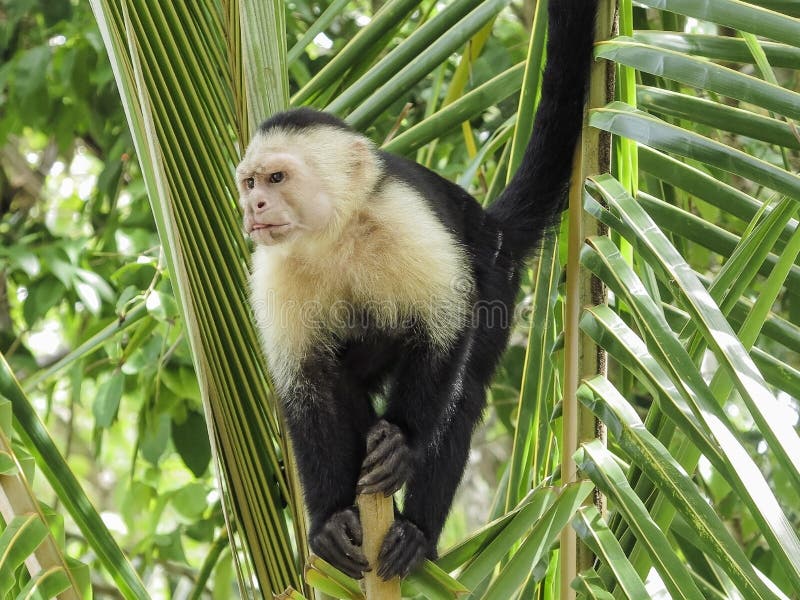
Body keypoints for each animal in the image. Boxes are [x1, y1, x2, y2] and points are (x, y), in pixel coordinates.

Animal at [237, 0, 598, 581]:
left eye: (276, 179)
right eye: (250, 183)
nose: (254, 207)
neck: (335, 235)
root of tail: (491, 224)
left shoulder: (401, 215)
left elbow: (447, 322)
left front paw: (402, 443)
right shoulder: (273, 269)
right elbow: (307, 384)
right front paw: (329, 520)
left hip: (493, 266)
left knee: (465, 385)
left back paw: (415, 533)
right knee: (346, 381)